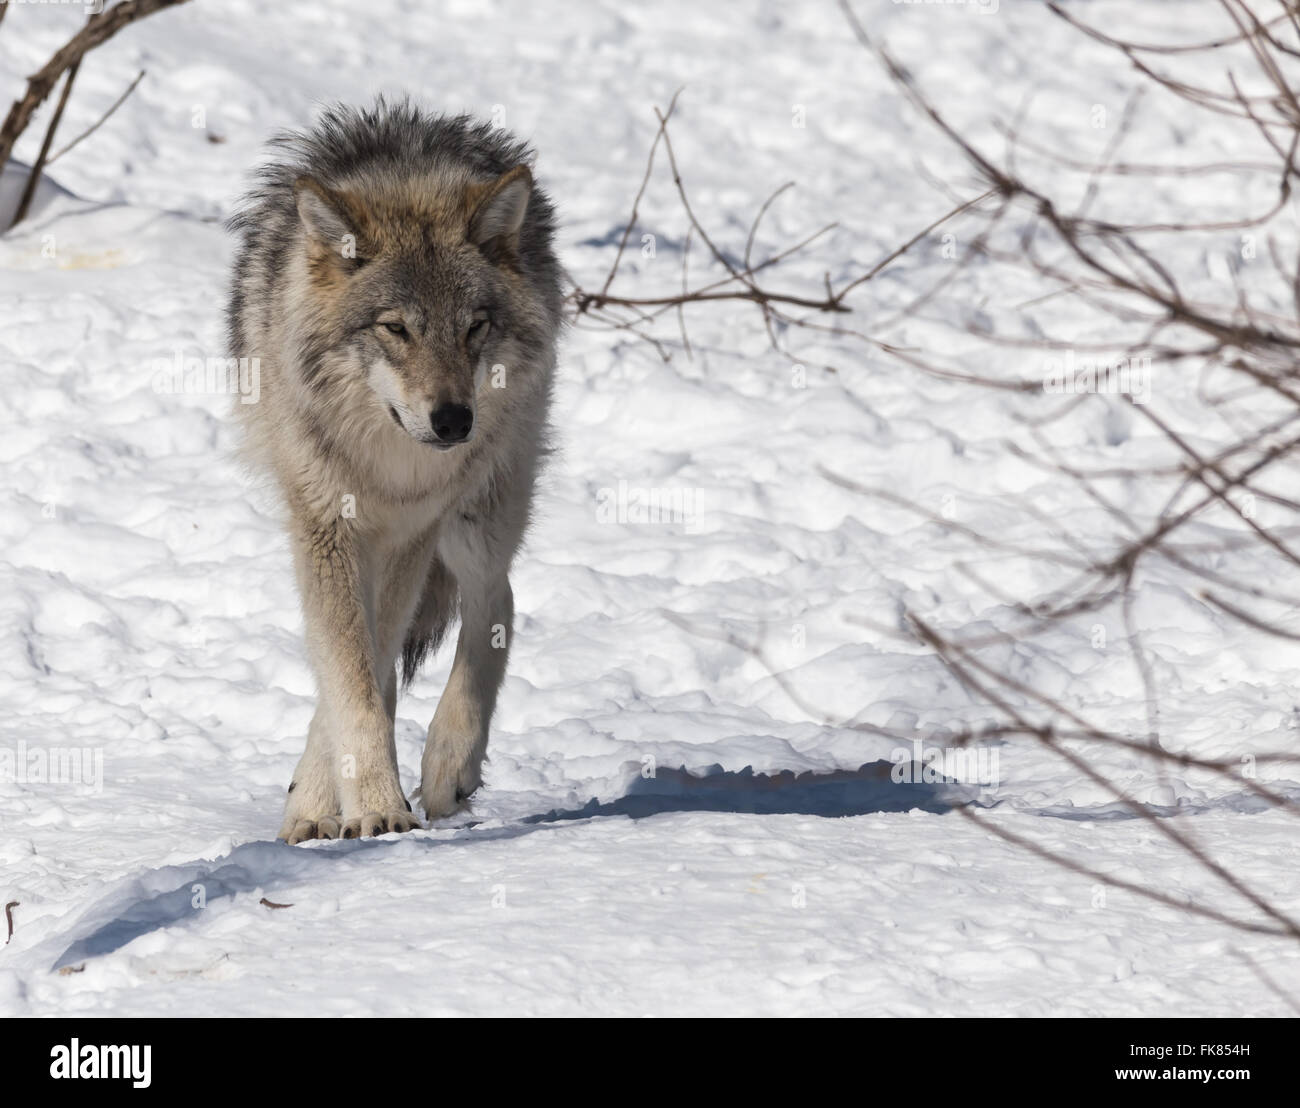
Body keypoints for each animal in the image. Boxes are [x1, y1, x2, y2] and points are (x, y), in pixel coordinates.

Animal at [226, 99, 562, 842]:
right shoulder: (325, 527)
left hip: (477, 511)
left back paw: (447, 765)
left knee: (497, 598)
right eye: (396, 328)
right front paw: (351, 805)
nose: (453, 420)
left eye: (473, 326)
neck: (386, 461)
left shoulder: (412, 528)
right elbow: (351, 678)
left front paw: (366, 804)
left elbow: (371, 665)